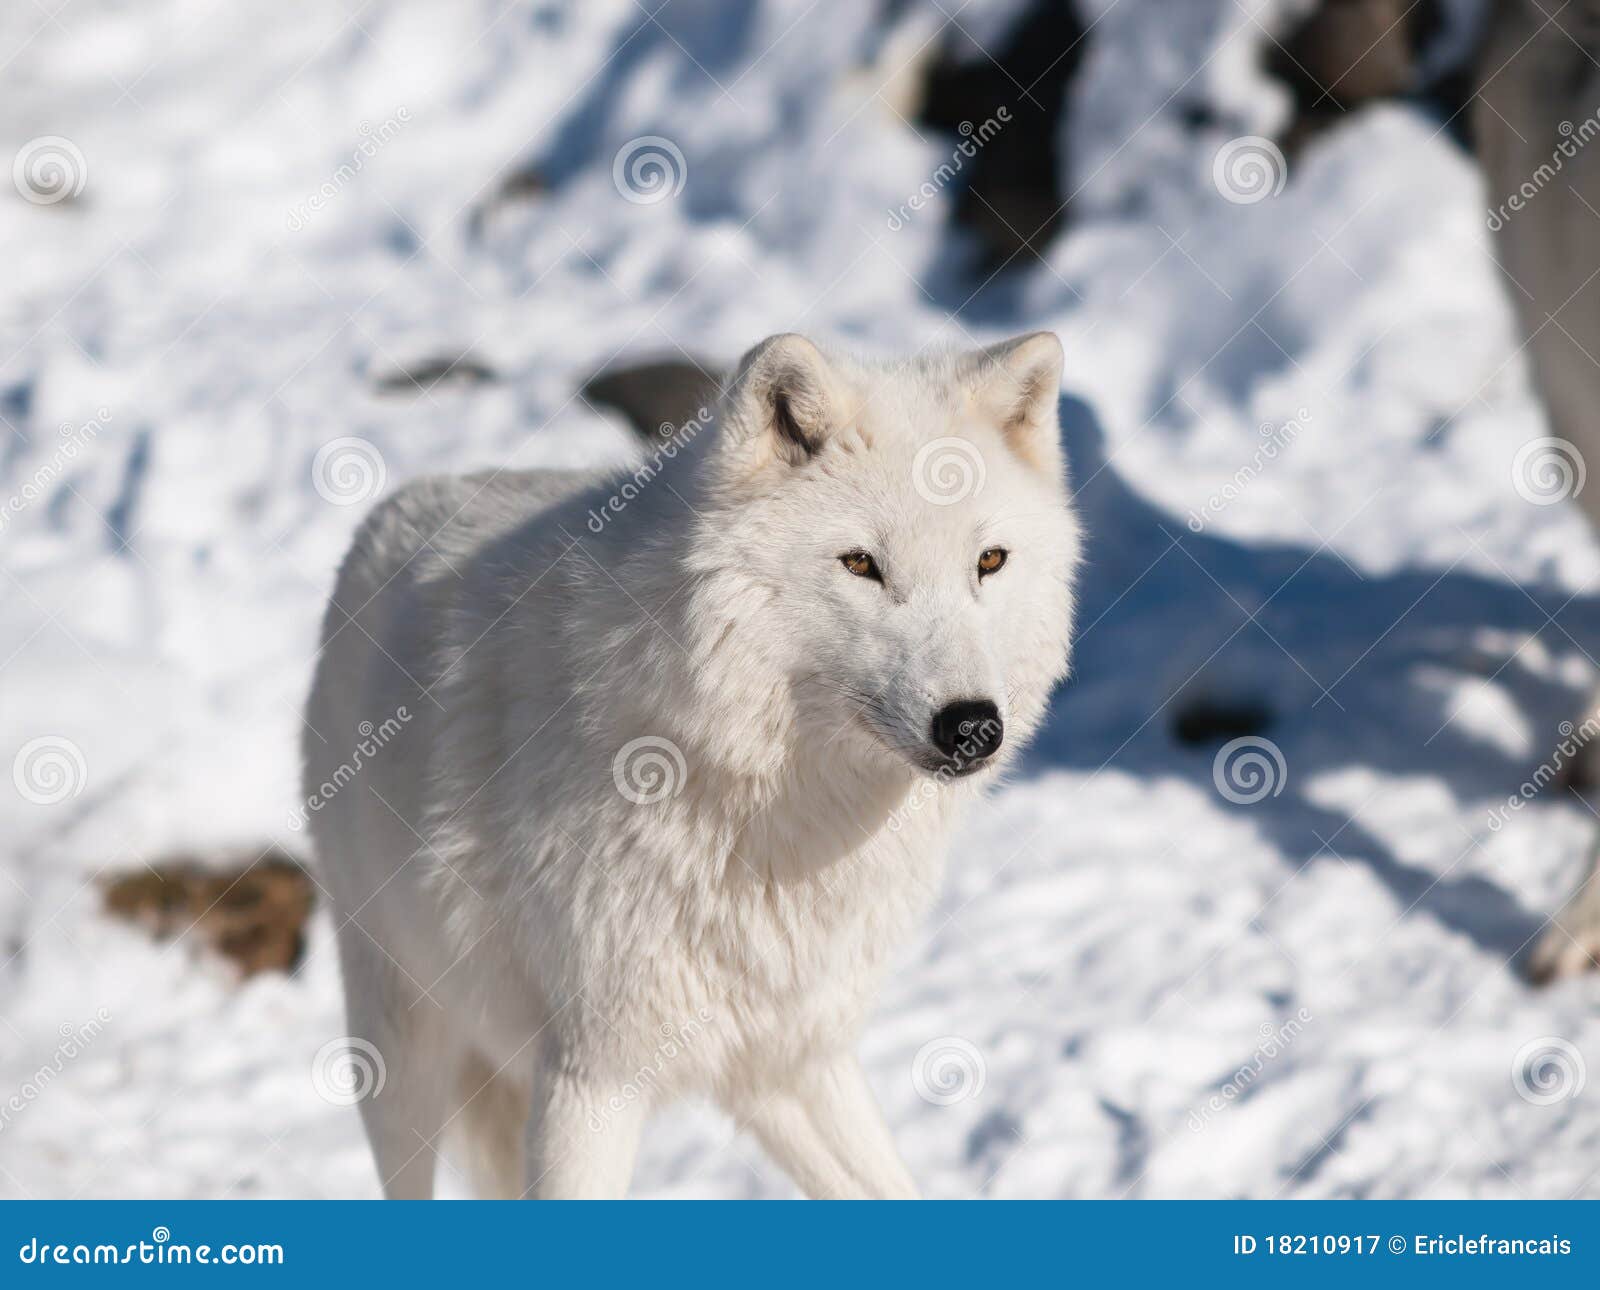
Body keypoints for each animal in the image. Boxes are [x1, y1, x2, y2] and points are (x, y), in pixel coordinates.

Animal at [301, 331, 1081, 1198]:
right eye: (860, 564)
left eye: (990, 560)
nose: (972, 726)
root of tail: (396, 508)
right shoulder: (590, 1077)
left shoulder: (798, 1056)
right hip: (400, 1047)